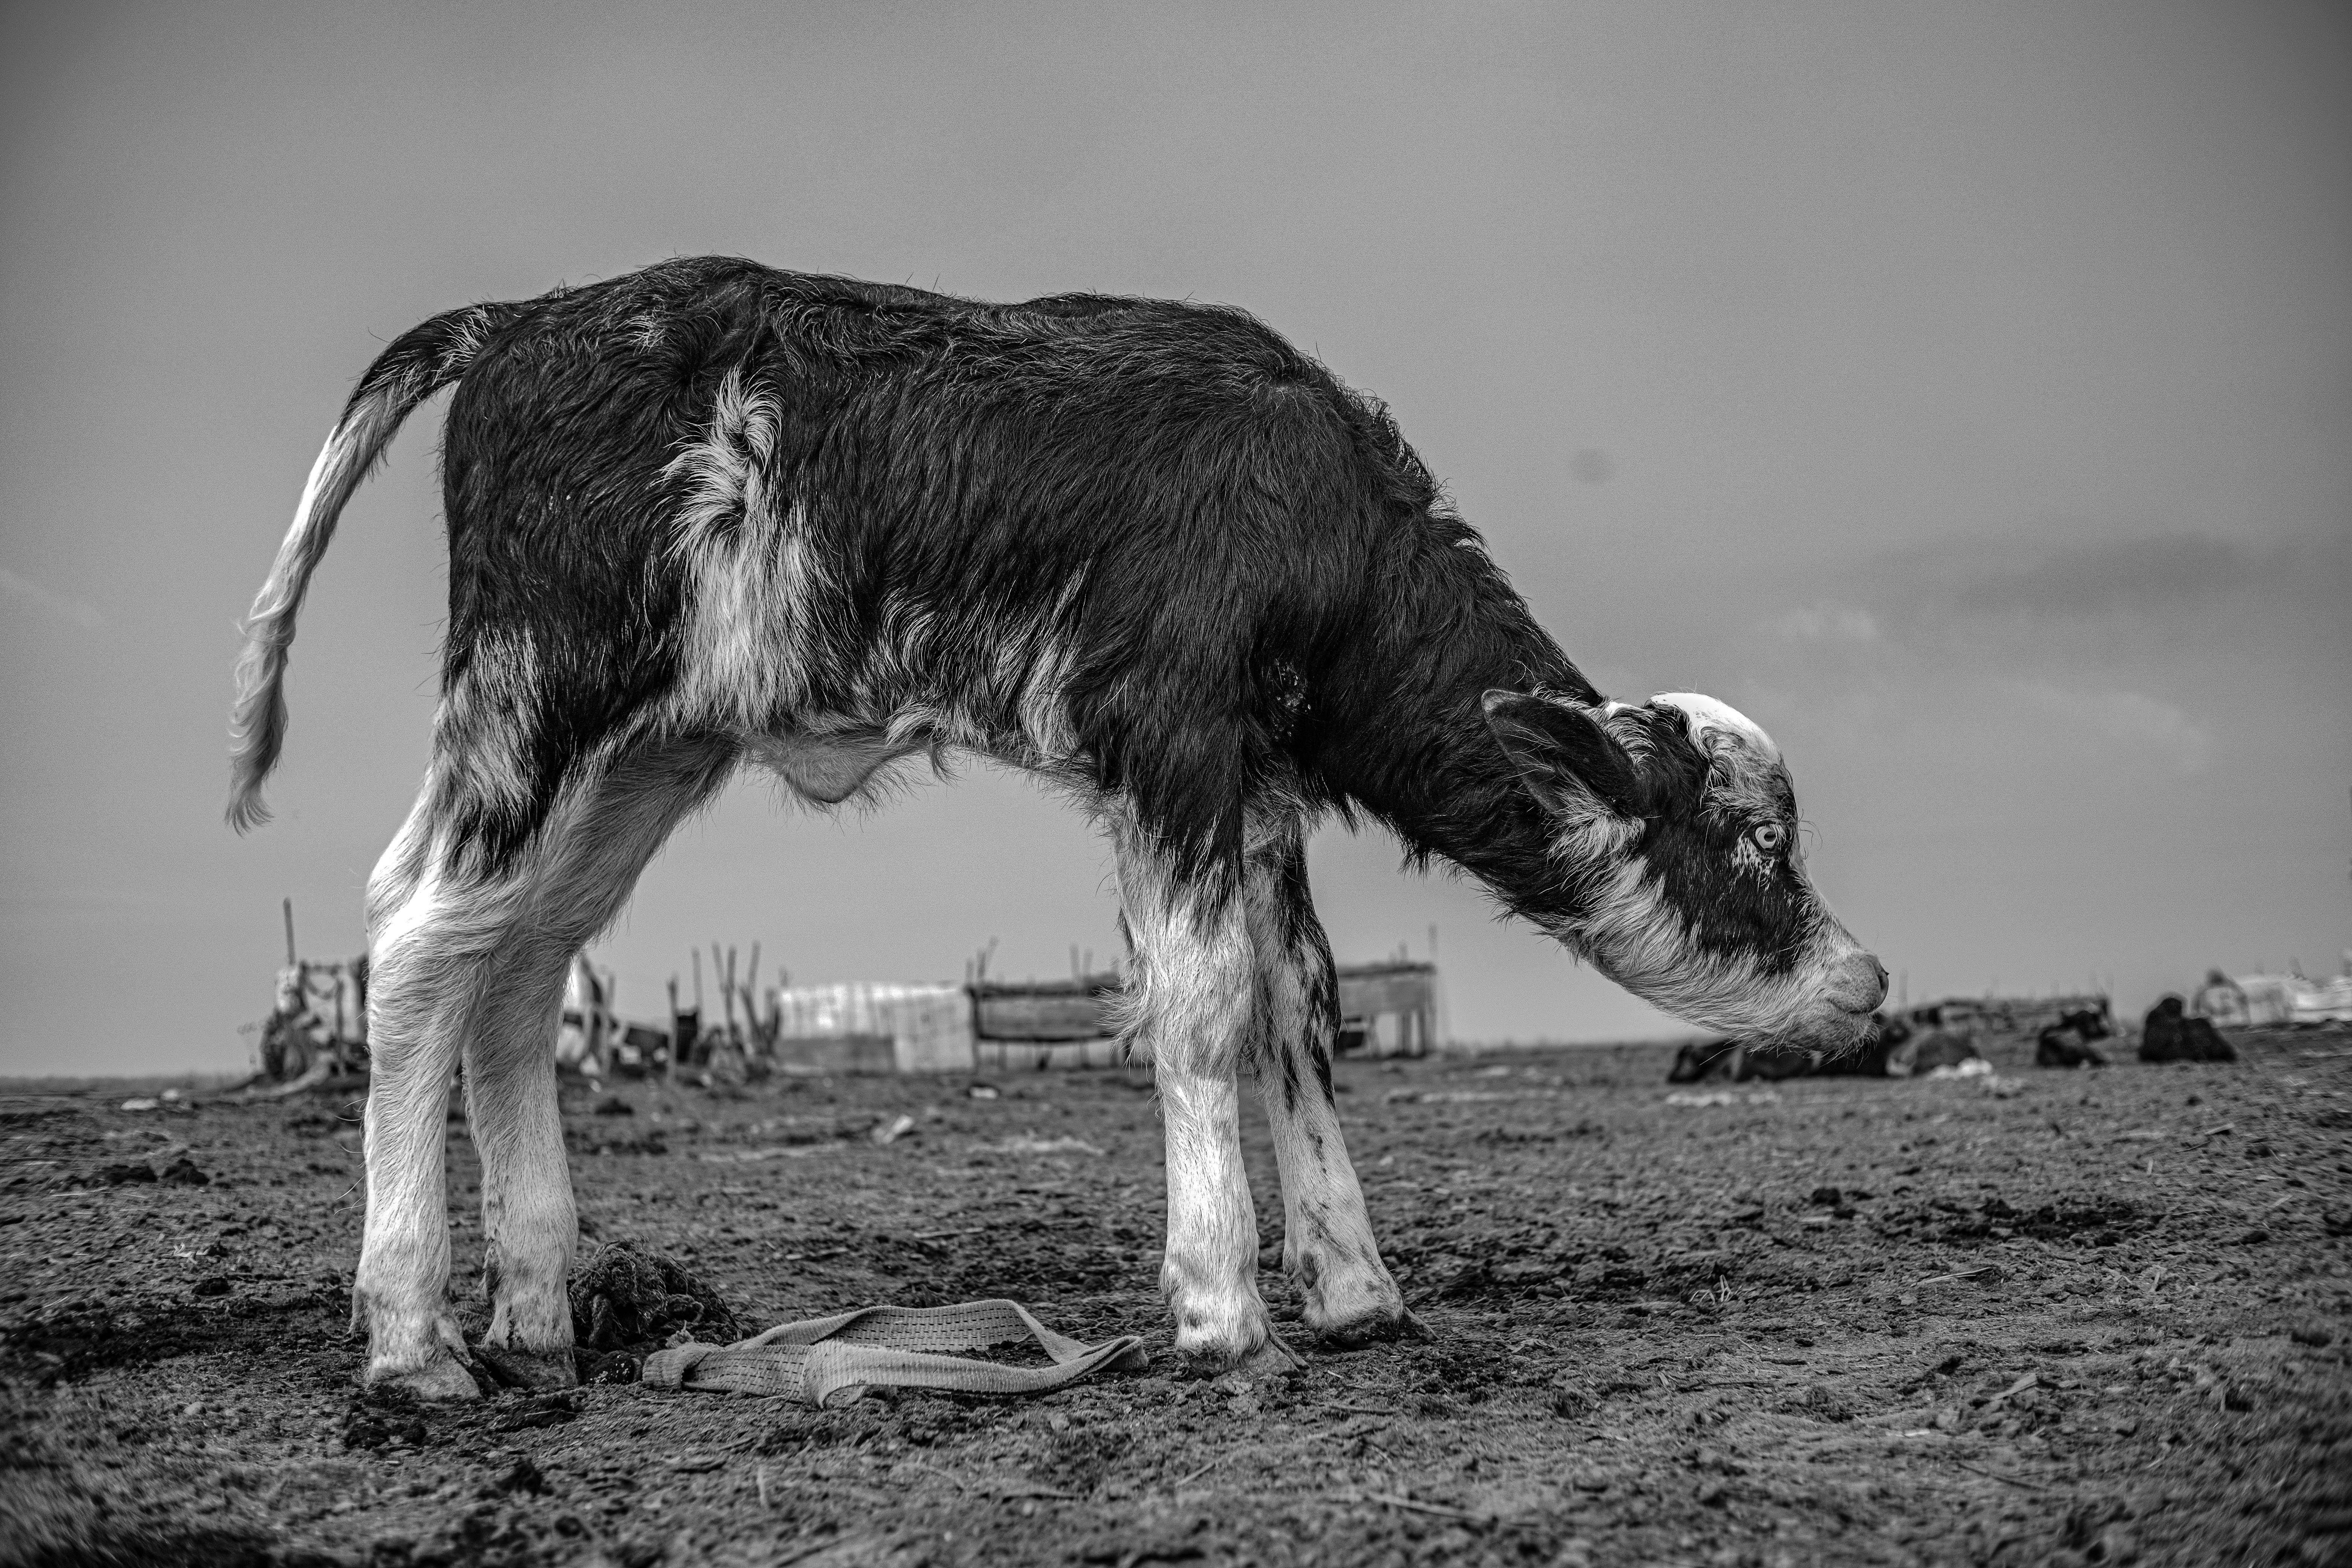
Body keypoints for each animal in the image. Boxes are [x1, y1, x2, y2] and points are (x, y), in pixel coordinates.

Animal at [227, 259, 1886, 1399]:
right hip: (536, 687)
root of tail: (525, 317)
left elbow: (1302, 1004)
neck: (1325, 536)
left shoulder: (1255, 786)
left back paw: (533, 1311)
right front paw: (1223, 1308)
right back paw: (412, 1338)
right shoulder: (1170, 739)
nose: (1868, 979)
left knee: (518, 969)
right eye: (1754, 843)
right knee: (418, 937)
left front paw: (1357, 1288)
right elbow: (1207, 1005)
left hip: (643, 748)